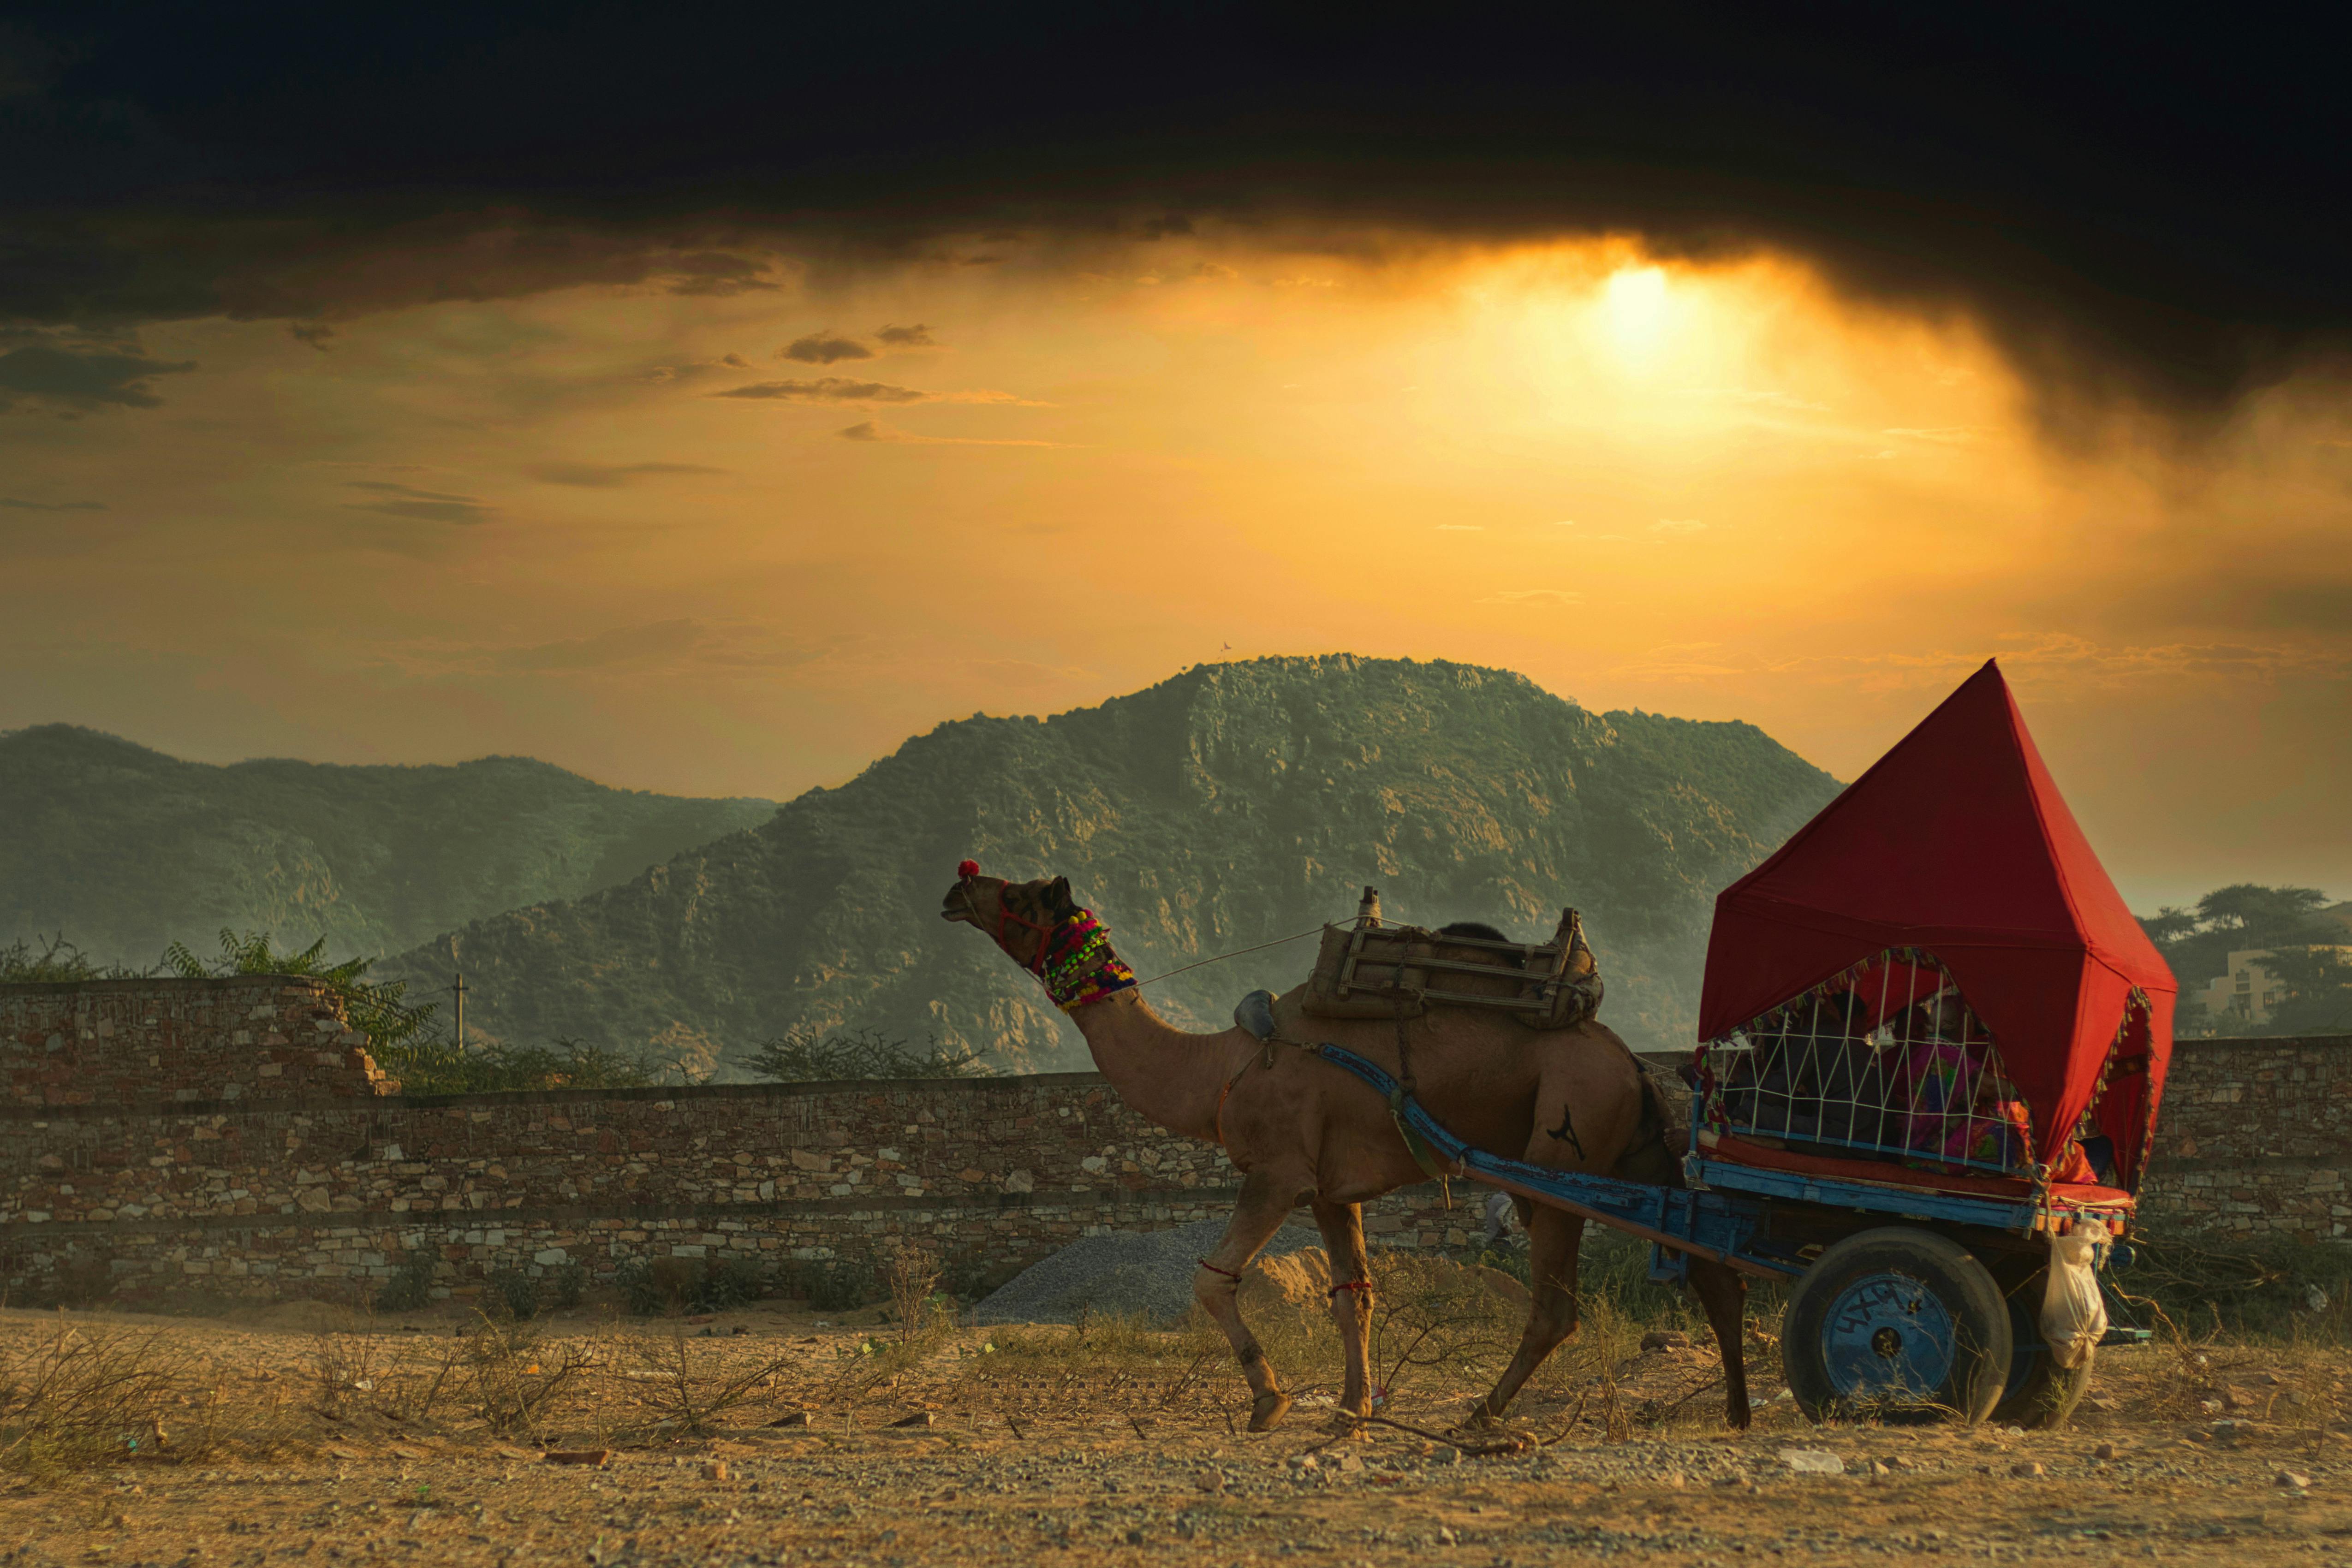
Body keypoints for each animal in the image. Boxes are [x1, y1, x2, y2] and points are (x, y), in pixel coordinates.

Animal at [942, 868, 1753, 1434]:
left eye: (1019, 893)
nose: (956, 887)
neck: (1223, 1069)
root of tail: (1628, 1062)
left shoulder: (1276, 1173)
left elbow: (1211, 1281)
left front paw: (1269, 1401)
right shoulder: (1331, 1191)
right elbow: (1352, 1295)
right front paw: (1349, 1411)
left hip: (1564, 1140)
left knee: (1558, 1309)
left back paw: (1480, 1417)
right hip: (1627, 1150)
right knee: (1713, 1266)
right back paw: (1738, 1410)